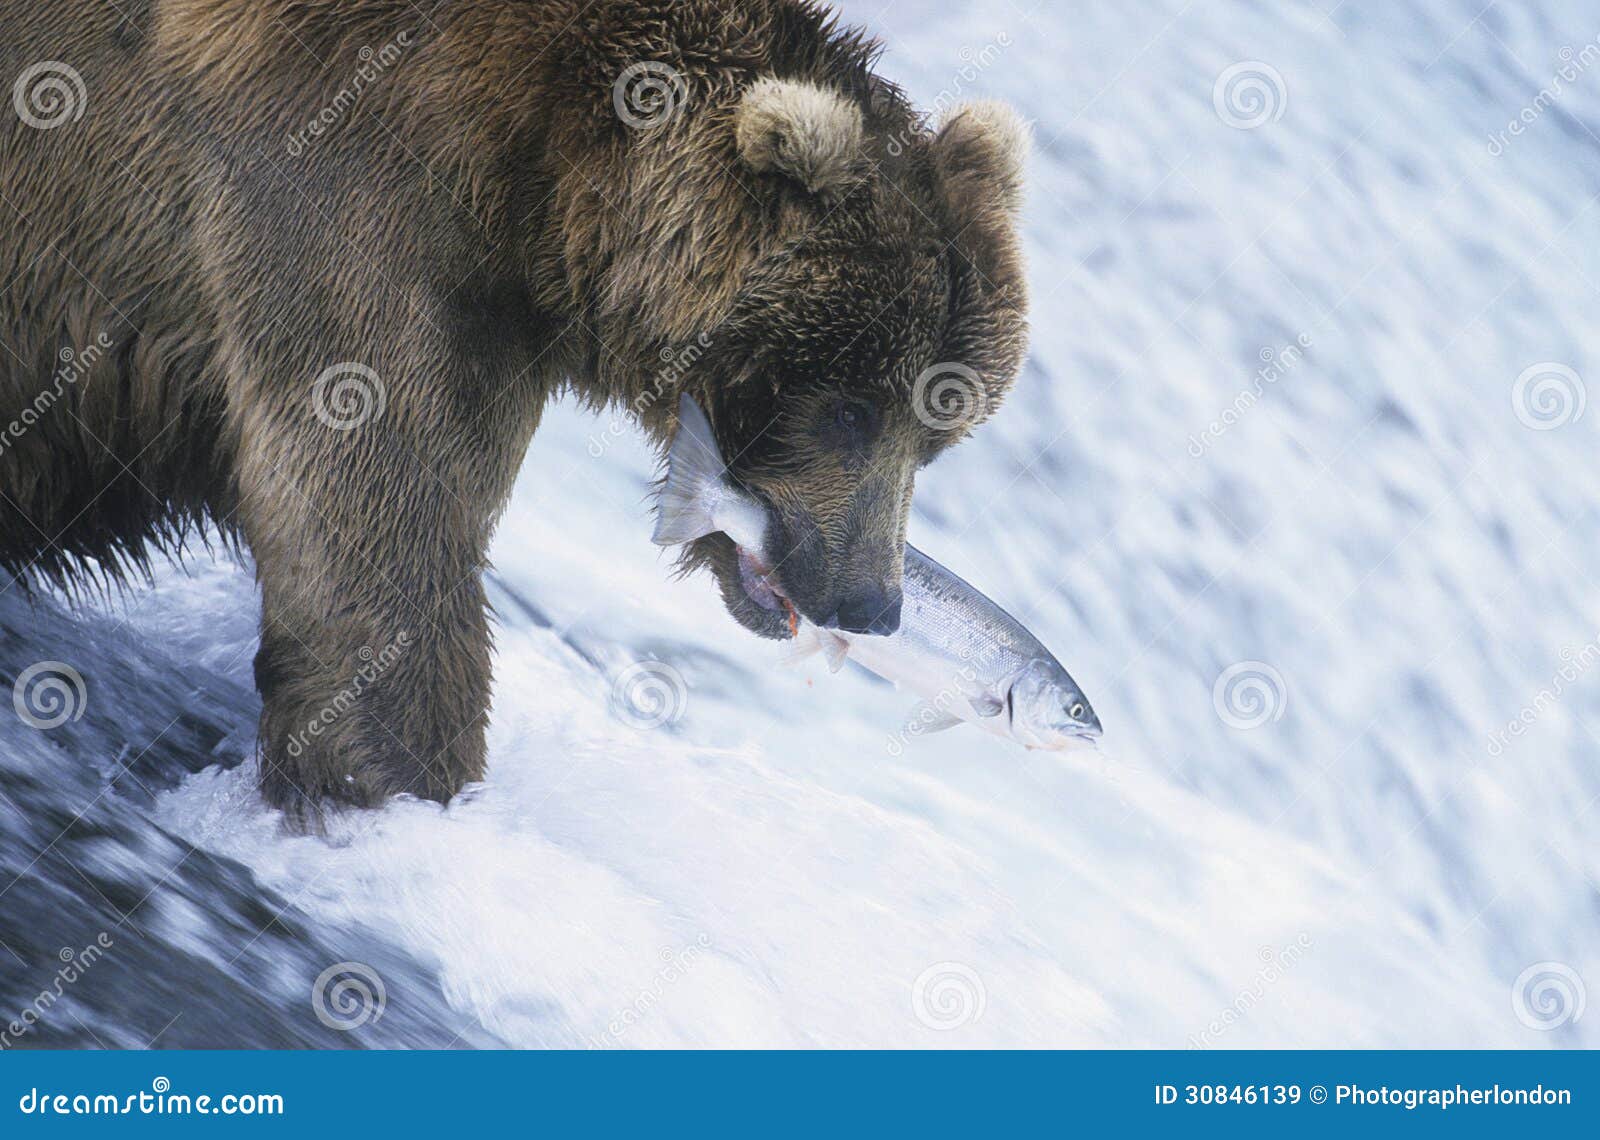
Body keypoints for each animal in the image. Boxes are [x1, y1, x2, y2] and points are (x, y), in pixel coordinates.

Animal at [0, 0, 1029, 813]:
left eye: (938, 431)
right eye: (852, 407)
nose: (870, 600)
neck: (545, 182)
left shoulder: (497, 323)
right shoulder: (351, 199)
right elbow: (377, 536)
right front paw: (406, 783)